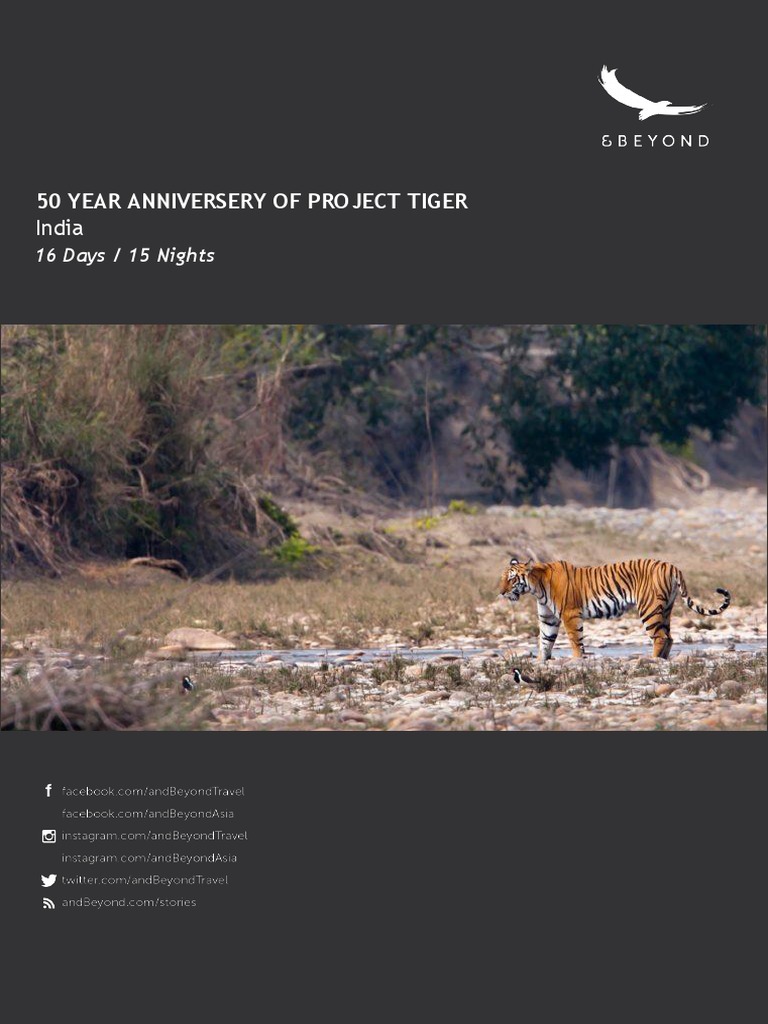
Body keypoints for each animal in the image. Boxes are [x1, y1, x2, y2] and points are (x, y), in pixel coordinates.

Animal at [498, 557, 730, 660]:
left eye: (511, 579)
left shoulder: (570, 614)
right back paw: (662, 659)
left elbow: (575, 640)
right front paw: (540, 662)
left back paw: (653, 659)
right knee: (669, 636)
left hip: (649, 608)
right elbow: (545, 641)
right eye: (502, 578)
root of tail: (671, 566)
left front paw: (576, 660)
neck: (536, 587)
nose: (500, 592)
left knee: (660, 636)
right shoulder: (548, 618)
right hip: (665, 609)